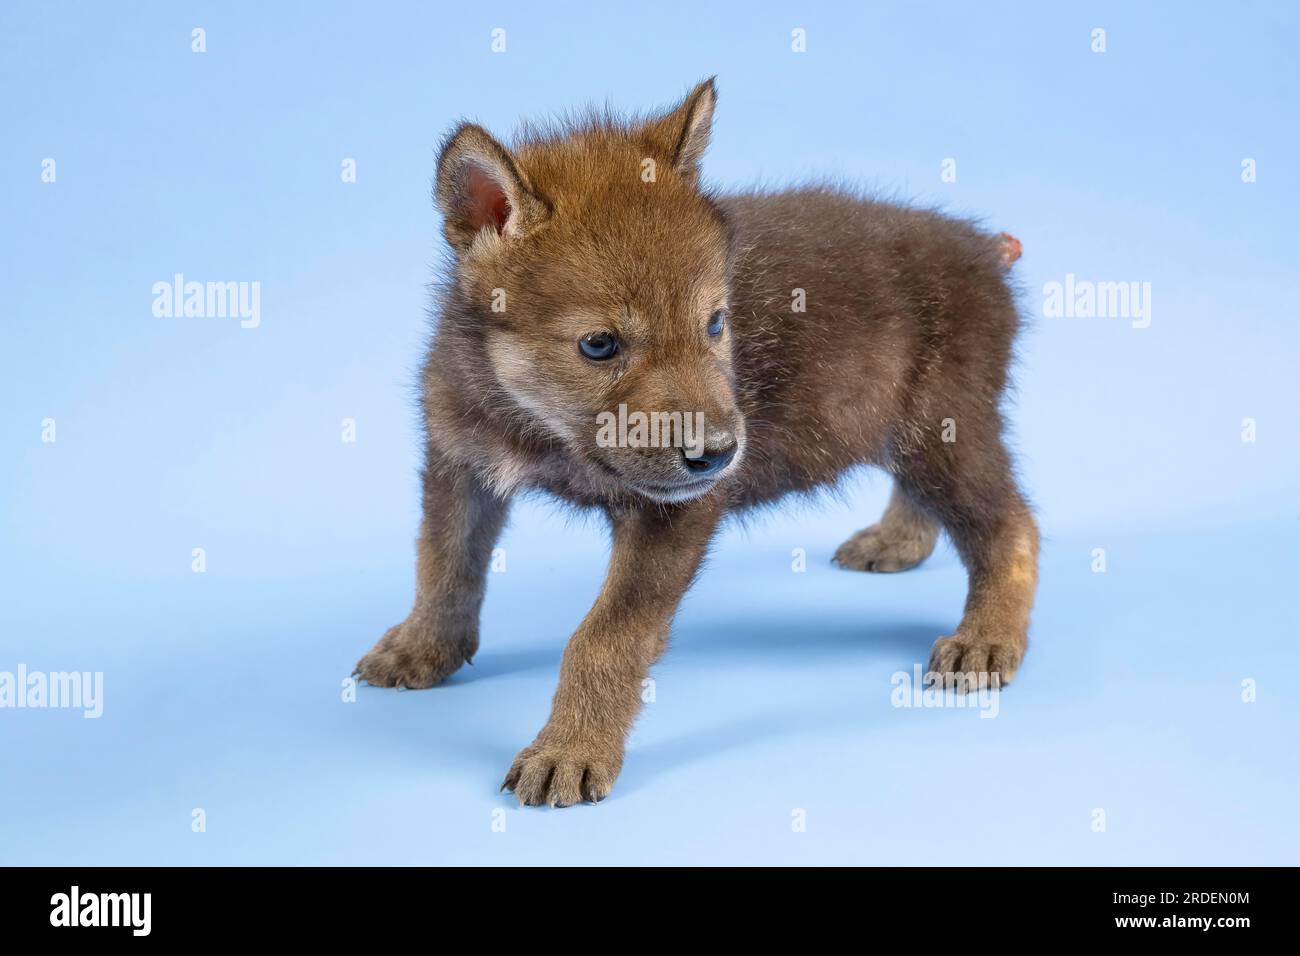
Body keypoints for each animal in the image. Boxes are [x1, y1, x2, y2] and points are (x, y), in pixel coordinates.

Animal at [355, 79, 1038, 806]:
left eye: (714, 323)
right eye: (600, 344)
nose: (718, 454)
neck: (534, 424)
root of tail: (982, 248)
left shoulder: (673, 514)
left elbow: (602, 639)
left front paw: (569, 750)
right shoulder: (459, 464)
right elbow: (442, 567)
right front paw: (422, 649)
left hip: (945, 431)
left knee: (1012, 526)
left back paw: (984, 640)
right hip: (909, 430)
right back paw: (897, 542)